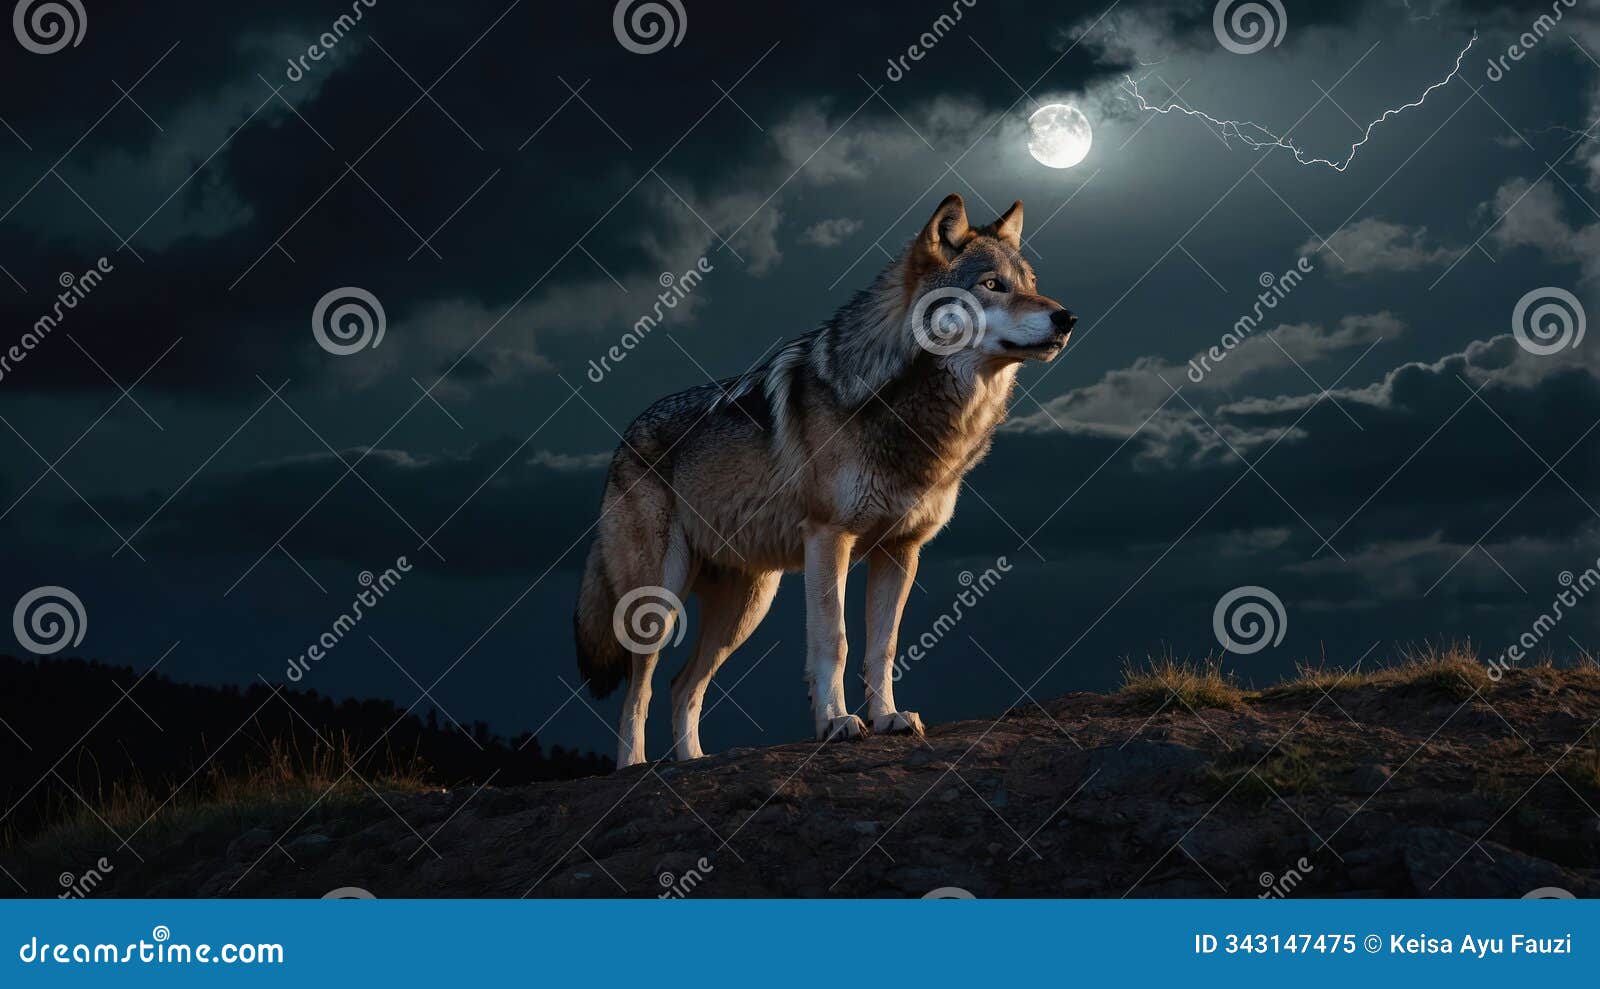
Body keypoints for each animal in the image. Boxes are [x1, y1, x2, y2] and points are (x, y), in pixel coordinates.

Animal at [574, 193, 1075, 767]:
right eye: (993, 284)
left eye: (1031, 282)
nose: (1067, 317)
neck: (912, 416)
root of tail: (623, 437)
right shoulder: (828, 538)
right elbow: (834, 640)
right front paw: (837, 722)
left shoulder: (901, 549)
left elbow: (883, 646)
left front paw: (888, 718)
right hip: (658, 598)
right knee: (640, 690)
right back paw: (634, 766)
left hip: (747, 608)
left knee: (684, 685)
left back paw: (693, 761)